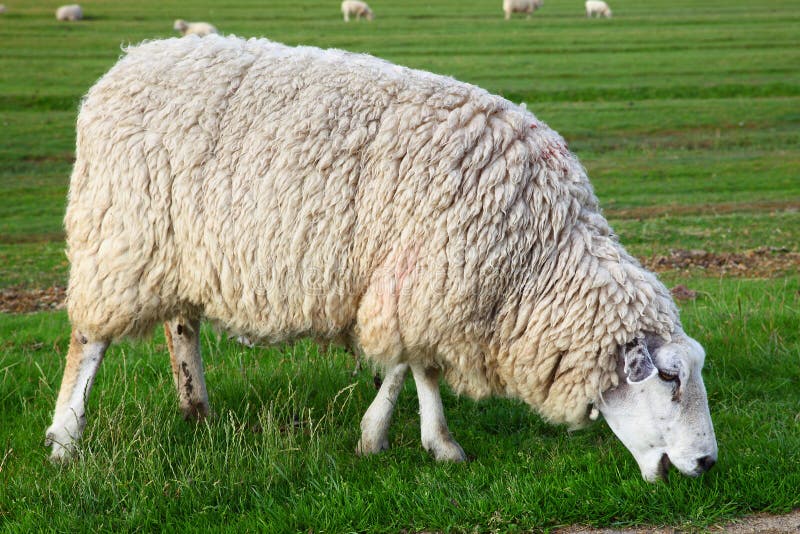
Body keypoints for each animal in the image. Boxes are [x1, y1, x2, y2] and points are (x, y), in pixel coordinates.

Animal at [45, 35, 717, 481]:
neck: (537, 251)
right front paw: (393, 440)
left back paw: (197, 409)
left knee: (180, 326)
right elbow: (403, 366)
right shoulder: (414, 279)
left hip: (178, 250)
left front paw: (427, 441)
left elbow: (417, 367)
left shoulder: (420, 283)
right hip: (119, 238)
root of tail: (130, 61)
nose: (708, 462)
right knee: (88, 340)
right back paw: (65, 439)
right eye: (670, 377)